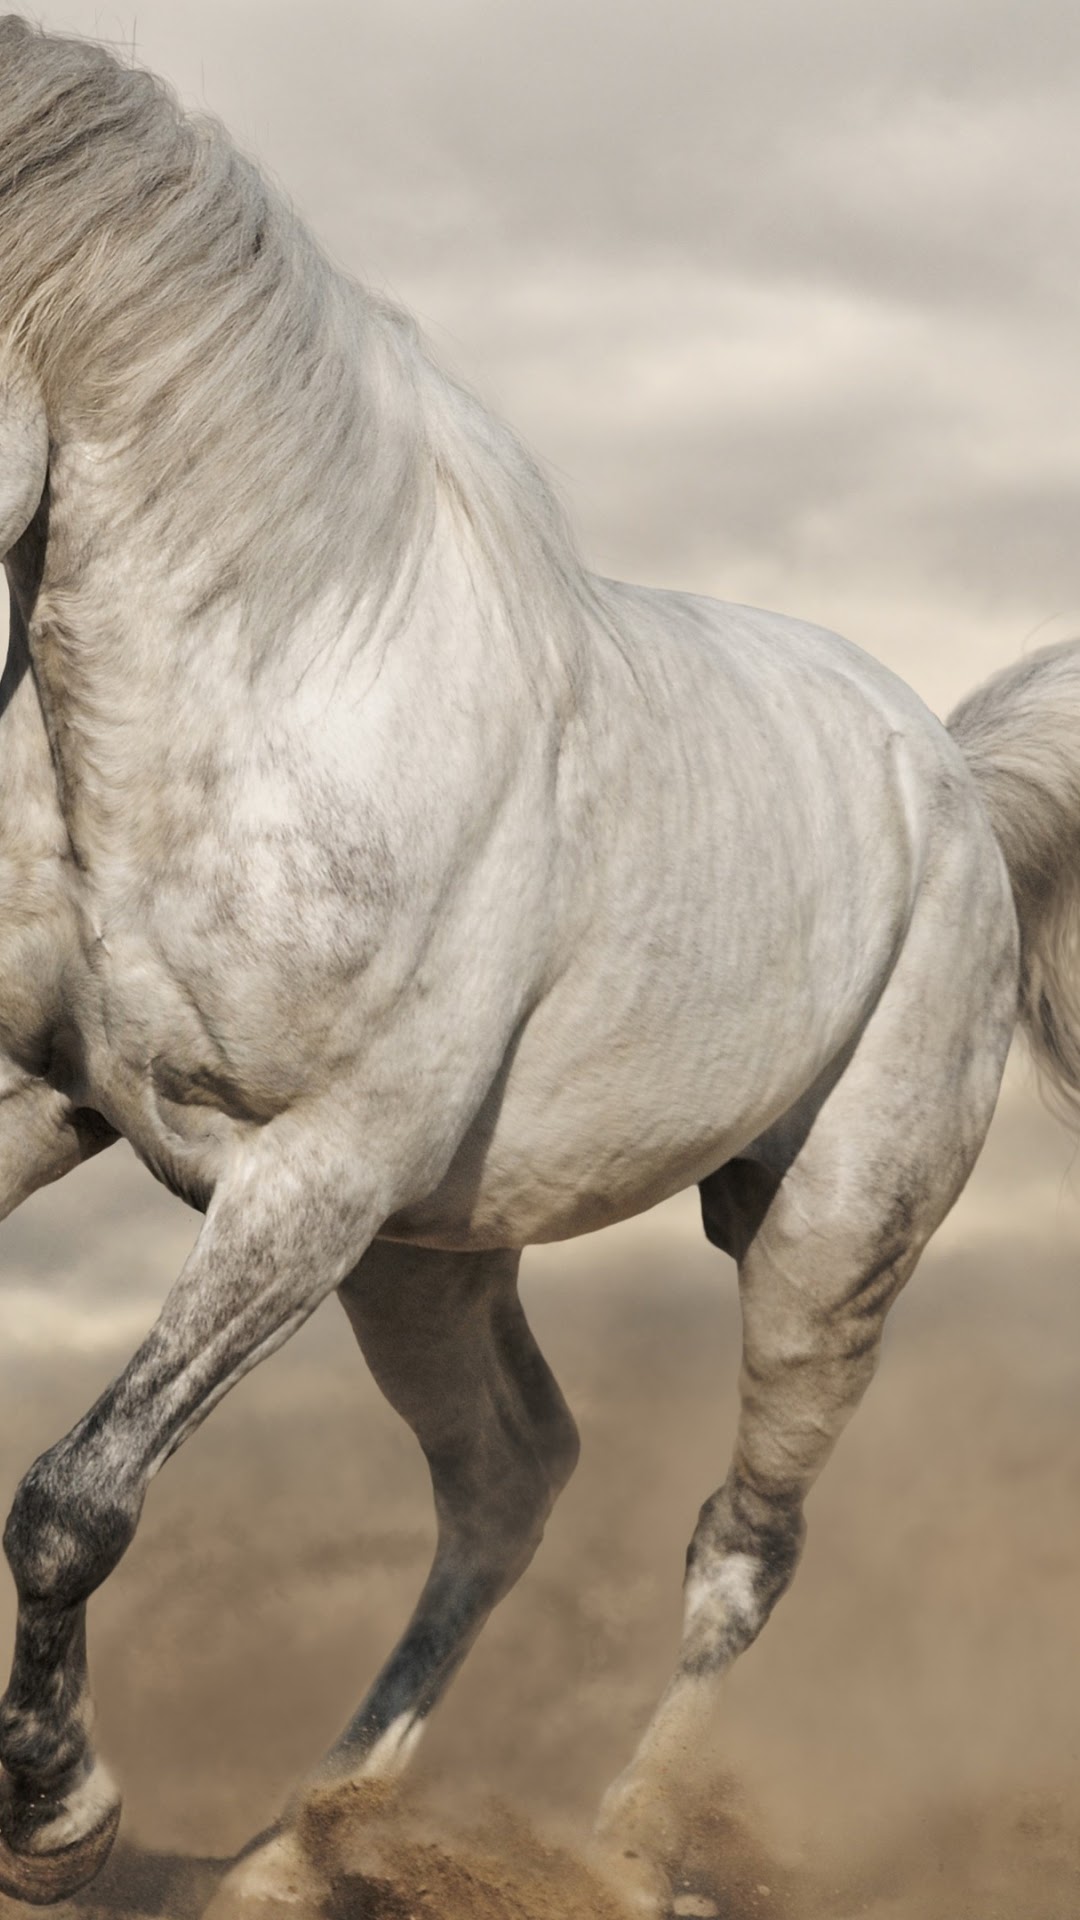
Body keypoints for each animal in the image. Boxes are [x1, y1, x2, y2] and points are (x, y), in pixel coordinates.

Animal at [0, 15, 1077, 1914]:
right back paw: (292, 1861)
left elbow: (76, 1497)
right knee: (511, 1474)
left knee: (740, 1545)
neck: (256, 691)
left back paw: (622, 1848)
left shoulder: (306, 1181)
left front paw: (57, 1826)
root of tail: (949, 774)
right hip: (431, 1258)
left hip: (822, 1248)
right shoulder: (48, 1101)